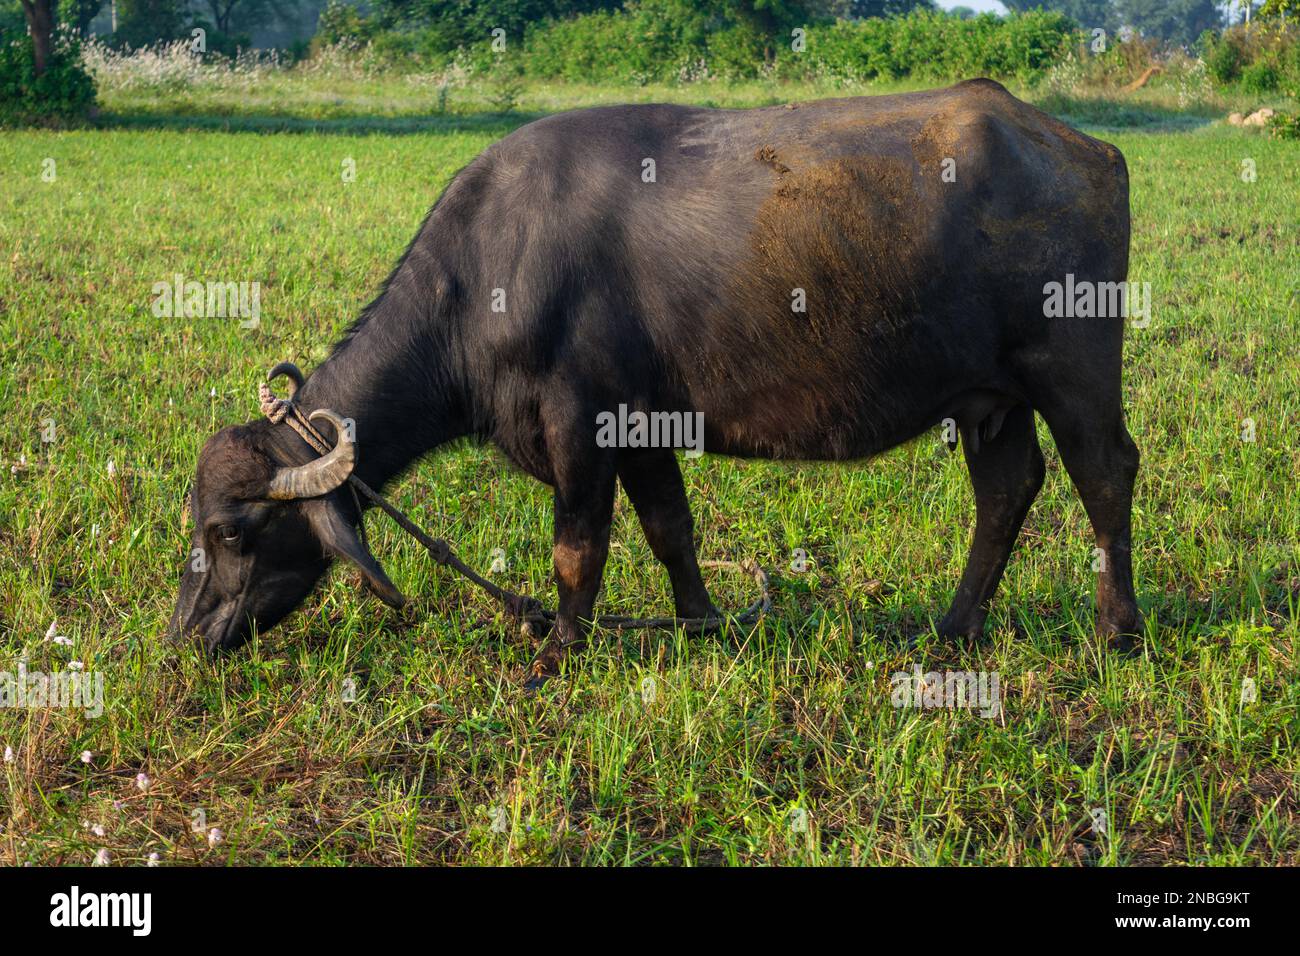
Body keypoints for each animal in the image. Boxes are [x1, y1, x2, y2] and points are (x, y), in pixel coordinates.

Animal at [168, 79, 1141, 686]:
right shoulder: (645, 428)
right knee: (1008, 487)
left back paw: (1117, 630)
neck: (488, 274)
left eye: (230, 531)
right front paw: (702, 621)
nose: (184, 636)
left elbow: (578, 547)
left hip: (1073, 367)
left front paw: (557, 651)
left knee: (1104, 473)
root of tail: (1087, 150)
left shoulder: (581, 423)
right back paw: (956, 624)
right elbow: (671, 528)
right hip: (991, 400)